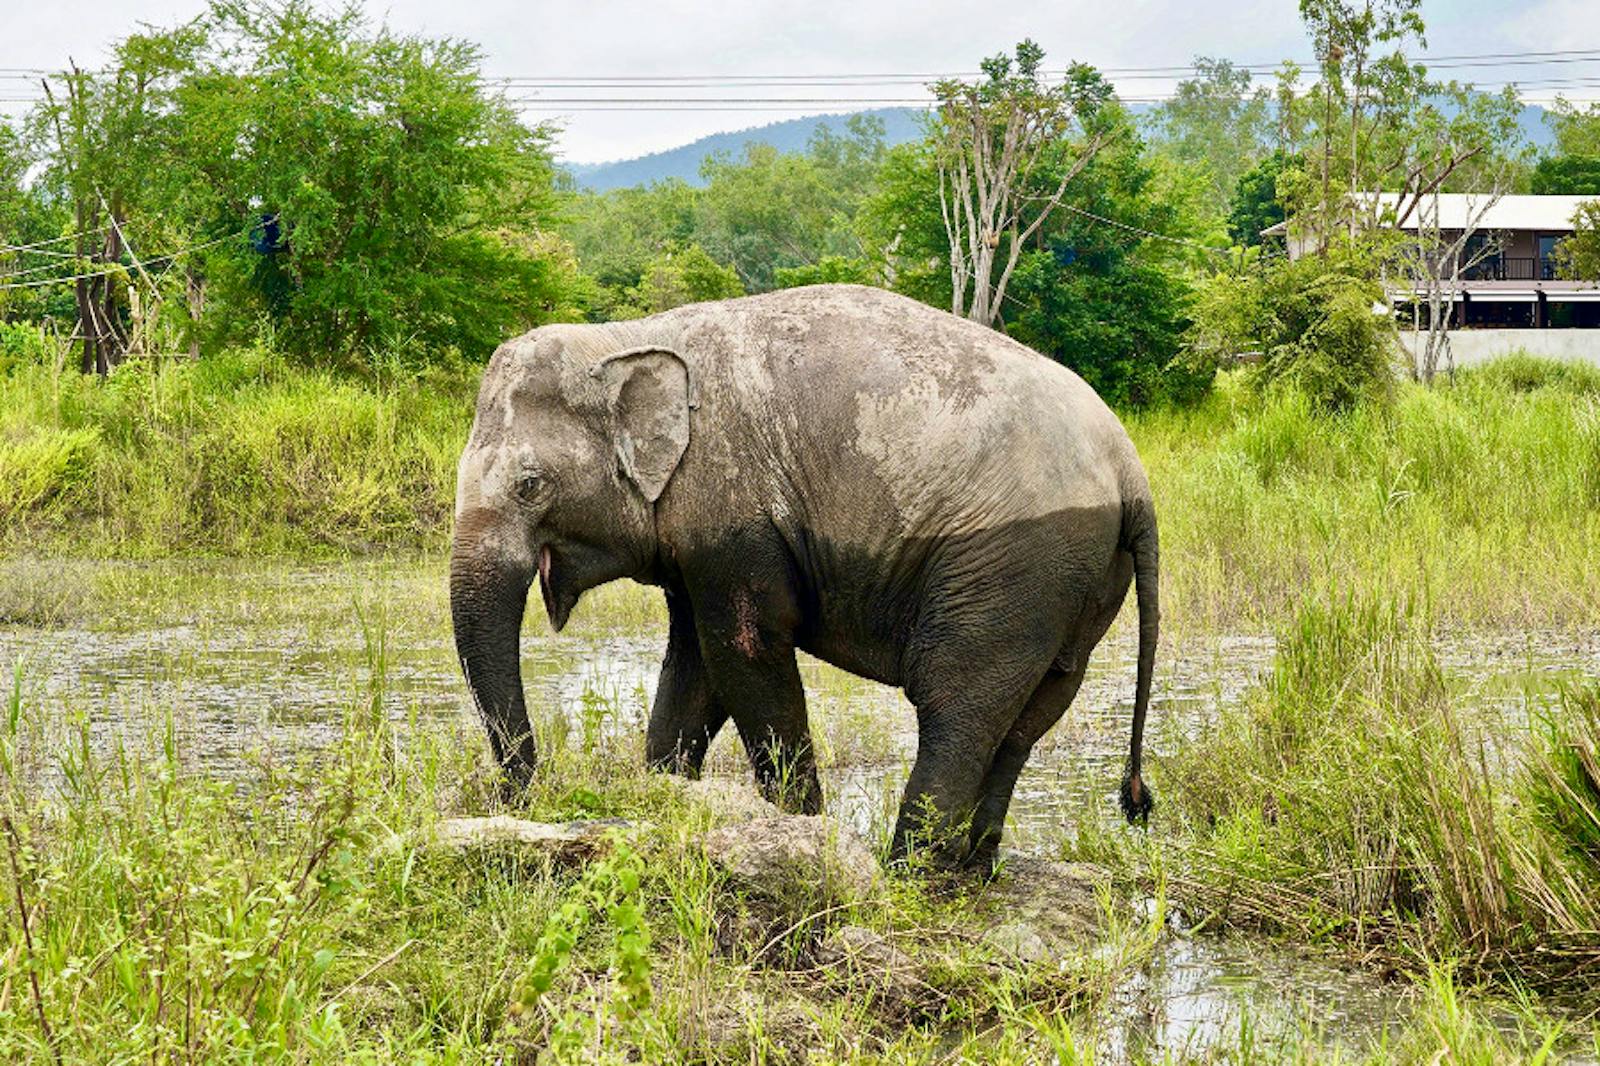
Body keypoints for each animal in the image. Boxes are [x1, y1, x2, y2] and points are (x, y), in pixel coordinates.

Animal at [449, 284, 1158, 865]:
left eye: (531, 485)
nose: (528, 800)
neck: (624, 338)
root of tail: (1132, 473)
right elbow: (697, 665)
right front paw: (669, 795)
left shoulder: (735, 506)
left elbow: (746, 656)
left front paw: (800, 831)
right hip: (1080, 582)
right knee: (1030, 715)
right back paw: (972, 871)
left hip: (1014, 563)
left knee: (954, 704)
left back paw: (909, 875)